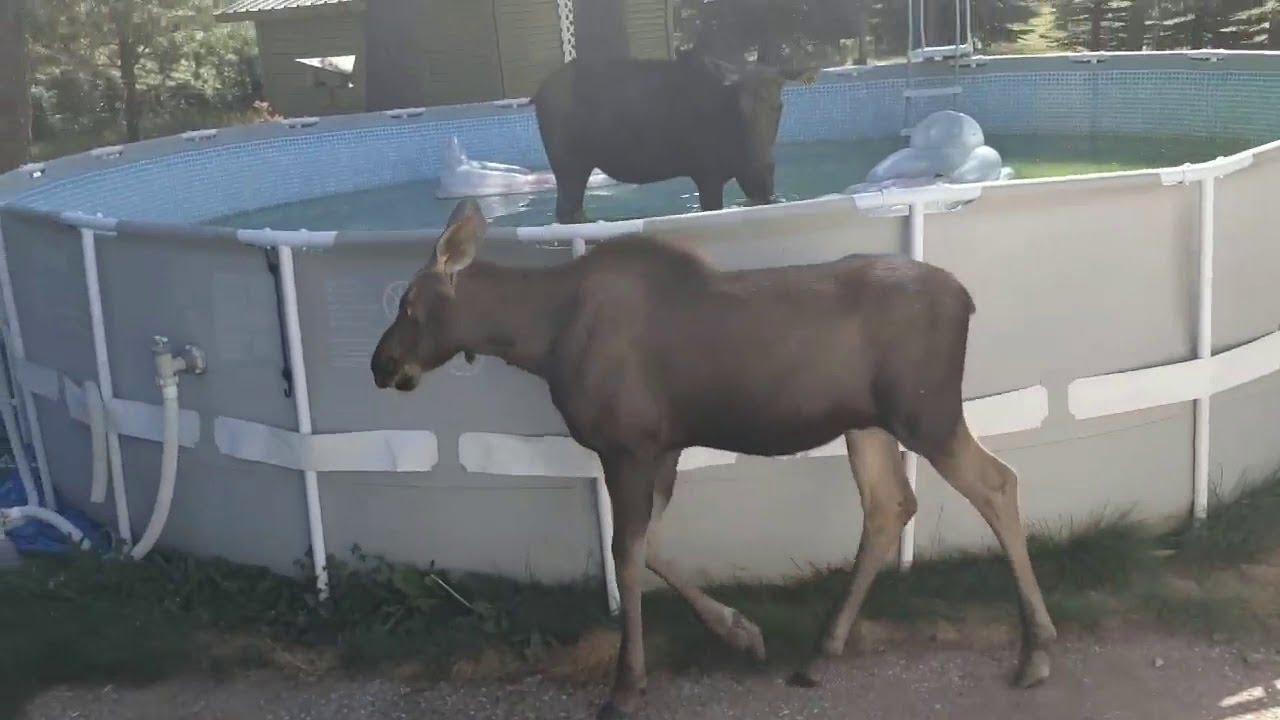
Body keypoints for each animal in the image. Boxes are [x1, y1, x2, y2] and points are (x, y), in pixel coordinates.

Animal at [370, 198, 1058, 720]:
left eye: (407, 304)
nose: (380, 364)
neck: (539, 339)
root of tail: (968, 300)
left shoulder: (627, 443)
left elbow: (626, 553)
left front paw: (626, 685)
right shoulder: (663, 445)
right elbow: (646, 544)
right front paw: (742, 631)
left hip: (927, 413)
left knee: (998, 483)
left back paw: (1037, 651)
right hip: (867, 423)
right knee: (890, 505)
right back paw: (820, 651)